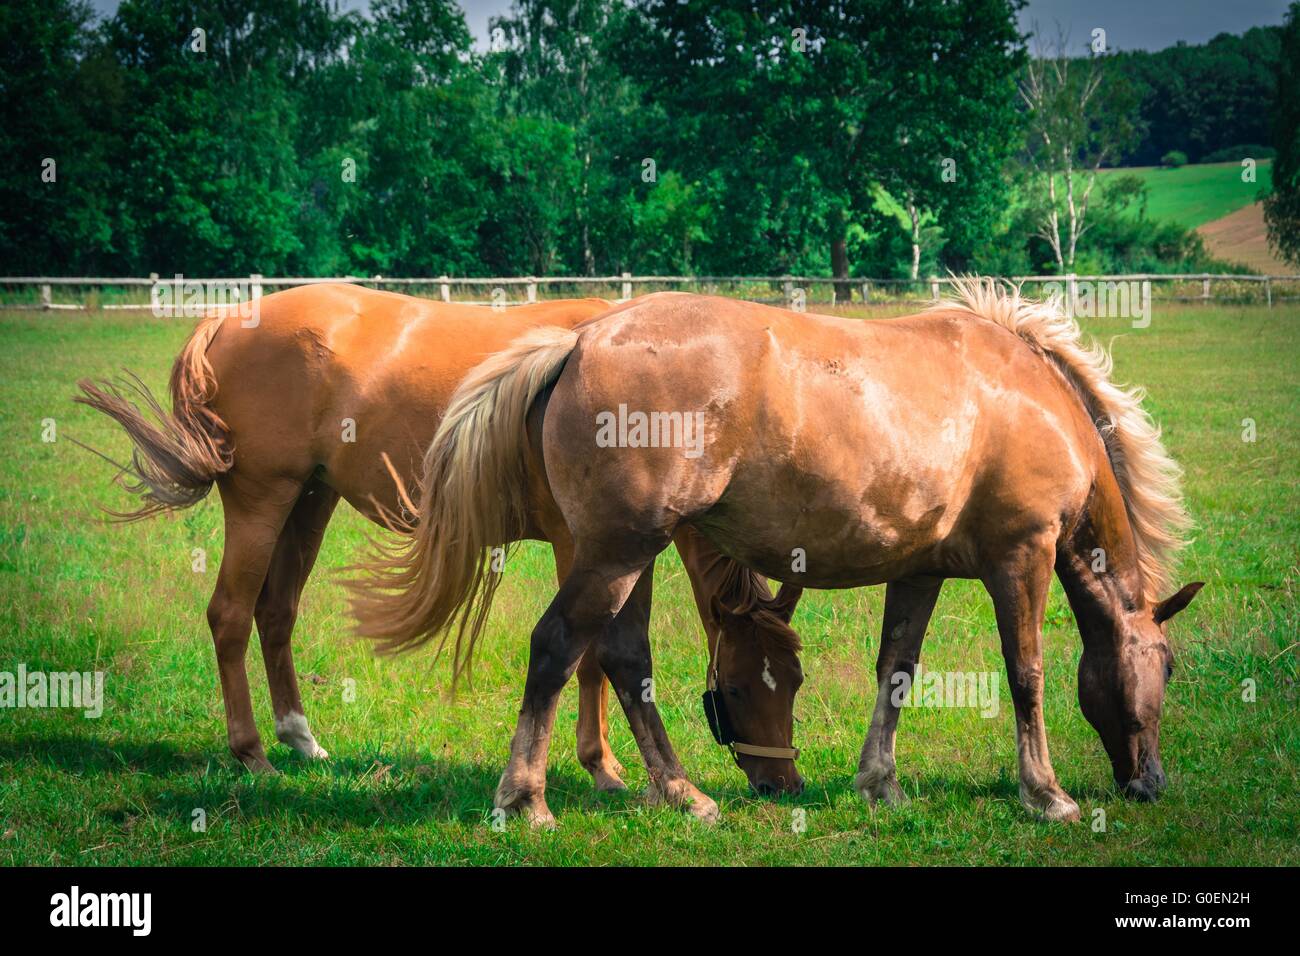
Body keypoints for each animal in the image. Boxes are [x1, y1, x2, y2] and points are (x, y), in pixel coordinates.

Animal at [75, 282, 804, 807]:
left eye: (795, 680)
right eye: (743, 688)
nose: (780, 787)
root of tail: (229, 320)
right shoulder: (583, 546)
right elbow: (589, 656)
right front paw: (601, 767)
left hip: (308, 503)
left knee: (274, 613)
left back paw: (301, 739)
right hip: (261, 501)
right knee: (229, 616)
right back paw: (251, 753)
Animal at [351, 280, 1203, 825]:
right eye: (1164, 668)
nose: (1152, 784)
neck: (1031, 393)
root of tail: (579, 340)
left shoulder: (921, 570)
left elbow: (896, 669)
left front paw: (880, 784)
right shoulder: (1020, 560)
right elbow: (1026, 674)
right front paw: (1047, 793)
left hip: (625, 556)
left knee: (624, 659)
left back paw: (682, 794)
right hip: (618, 552)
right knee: (559, 649)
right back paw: (525, 799)